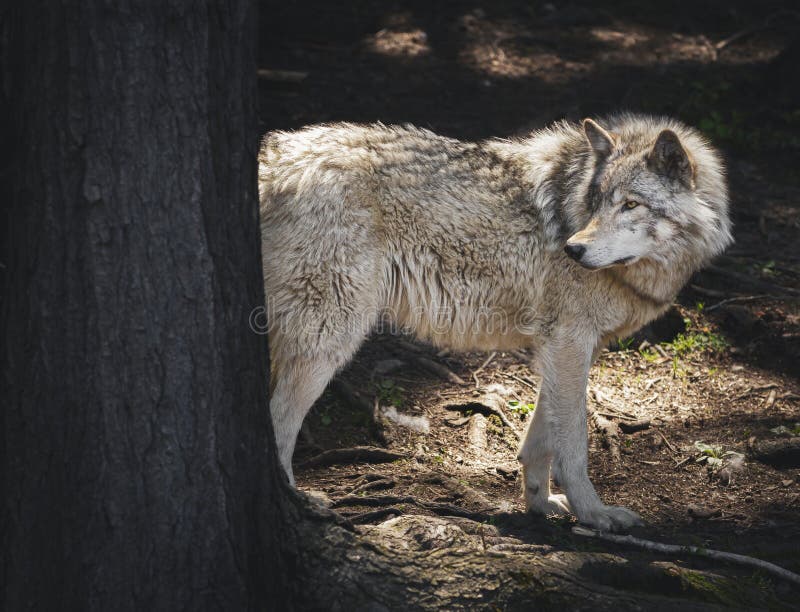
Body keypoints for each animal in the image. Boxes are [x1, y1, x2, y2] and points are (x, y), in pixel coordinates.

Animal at [258, 114, 731, 531]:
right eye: (597, 203)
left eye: (631, 204)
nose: (572, 249)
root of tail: (272, 159)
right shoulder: (569, 342)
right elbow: (574, 444)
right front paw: (595, 515)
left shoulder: (566, 348)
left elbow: (540, 439)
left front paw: (541, 504)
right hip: (329, 339)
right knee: (278, 419)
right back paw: (297, 502)